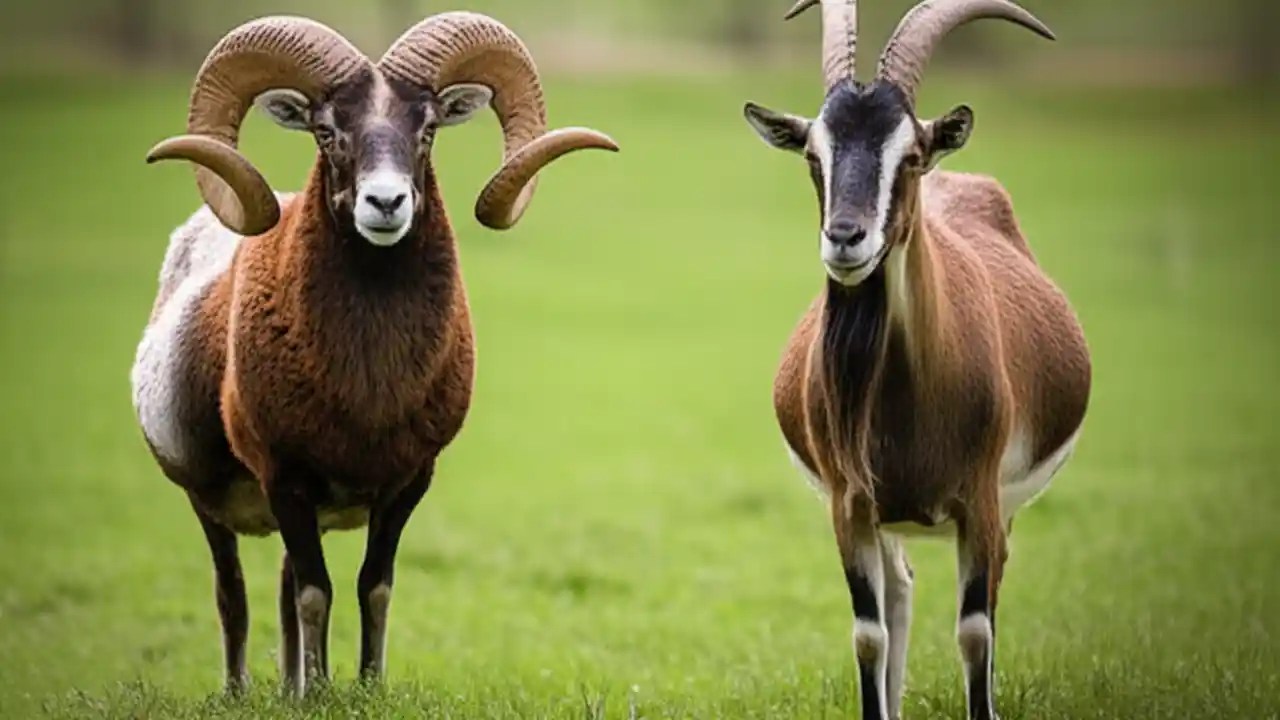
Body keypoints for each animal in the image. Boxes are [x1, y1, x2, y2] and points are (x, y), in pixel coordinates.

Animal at [131, 13, 616, 695]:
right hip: (211, 506)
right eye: (327, 130)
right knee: (234, 595)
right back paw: (242, 690)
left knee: (280, 590)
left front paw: (362, 686)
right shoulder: (285, 478)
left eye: (428, 128)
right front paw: (321, 695)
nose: (385, 204)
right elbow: (316, 594)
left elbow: (371, 588)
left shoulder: (404, 484)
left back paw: (290, 689)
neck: (368, 383)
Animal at [743, 1, 1090, 718]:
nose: (845, 238)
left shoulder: (977, 502)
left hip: (996, 511)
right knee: (900, 588)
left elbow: (975, 630)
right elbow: (869, 633)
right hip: (889, 518)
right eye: (814, 153)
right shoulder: (851, 505)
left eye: (910, 154)